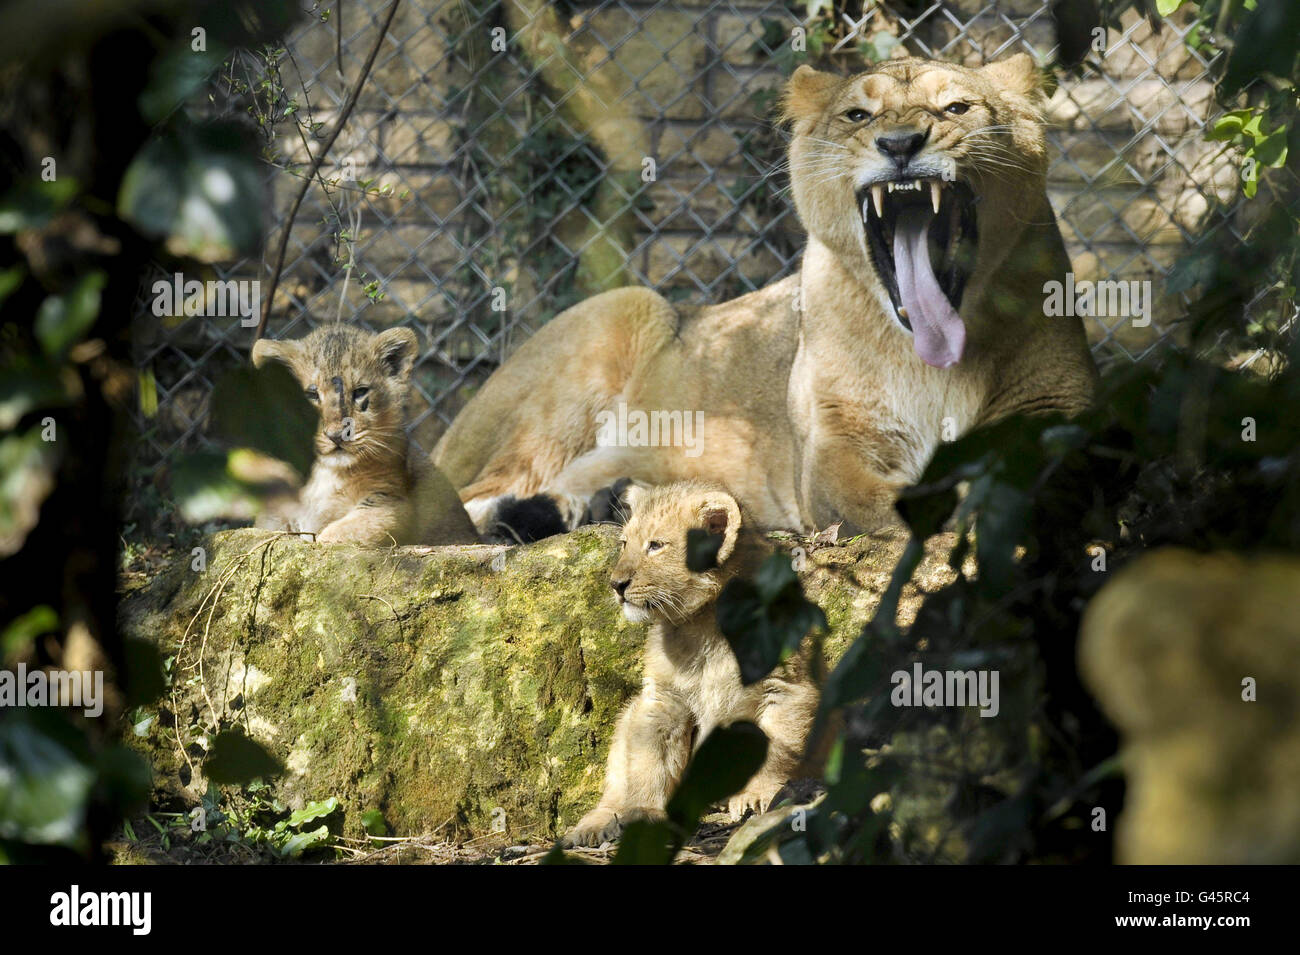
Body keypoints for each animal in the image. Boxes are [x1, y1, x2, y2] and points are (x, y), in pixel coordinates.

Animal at [250, 325, 478, 545]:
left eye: (360, 392)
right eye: (311, 394)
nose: (337, 435)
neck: (324, 472)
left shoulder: (391, 502)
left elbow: (347, 530)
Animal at [434, 53, 1097, 539]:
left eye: (956, 106)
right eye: (858, 115)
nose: (901, 143)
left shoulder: (1058, 405)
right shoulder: (834, 443)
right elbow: (884, 500)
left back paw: (603, 503)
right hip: (623, 311)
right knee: (458, 499)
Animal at [562, 481, 821, 847]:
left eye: (656, 545)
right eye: (625, 543)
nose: (616, 584)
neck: (705, 623)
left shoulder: (786, 687)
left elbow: (776, 749)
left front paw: (757, 795)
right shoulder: (664, 699)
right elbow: (649, 761)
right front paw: (642, 813)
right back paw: (593, 826)